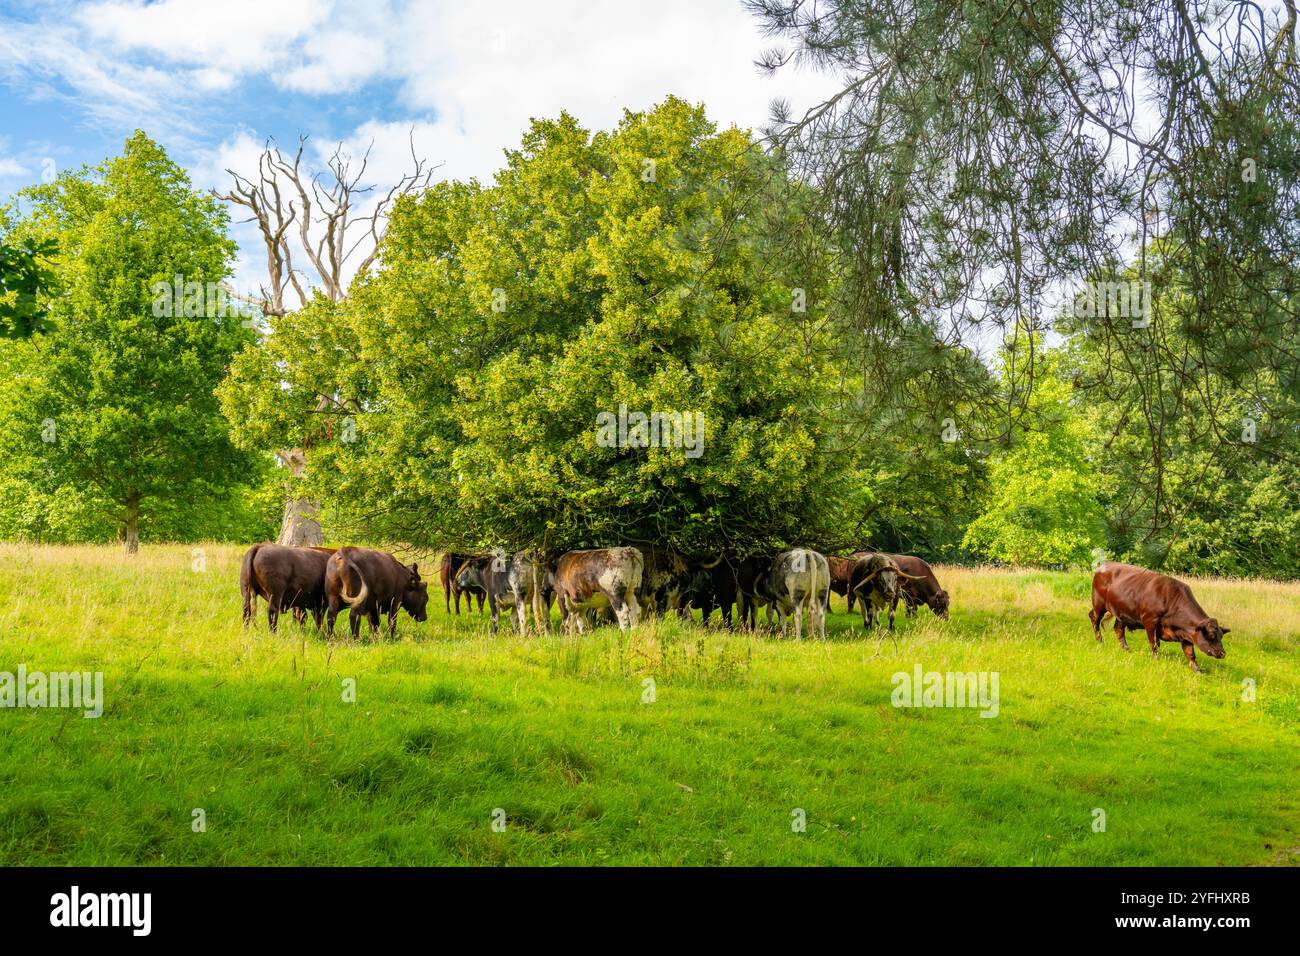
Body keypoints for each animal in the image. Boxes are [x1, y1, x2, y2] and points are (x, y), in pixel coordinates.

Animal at [1090, 562, 1228, 672]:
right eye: (1212, 635)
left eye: (1221, 636)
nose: (1222, 653)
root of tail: (1104, 565)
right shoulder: (1150, 621)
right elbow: (1154, 643)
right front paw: (1155, 659)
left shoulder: (1187, 634)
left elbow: (1190, 653)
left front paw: (1197, 670)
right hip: (1099, 604)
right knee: (1094, 618)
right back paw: (1100, 641)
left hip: (1122, 612)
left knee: (1118, 629)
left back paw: (1126, 648)